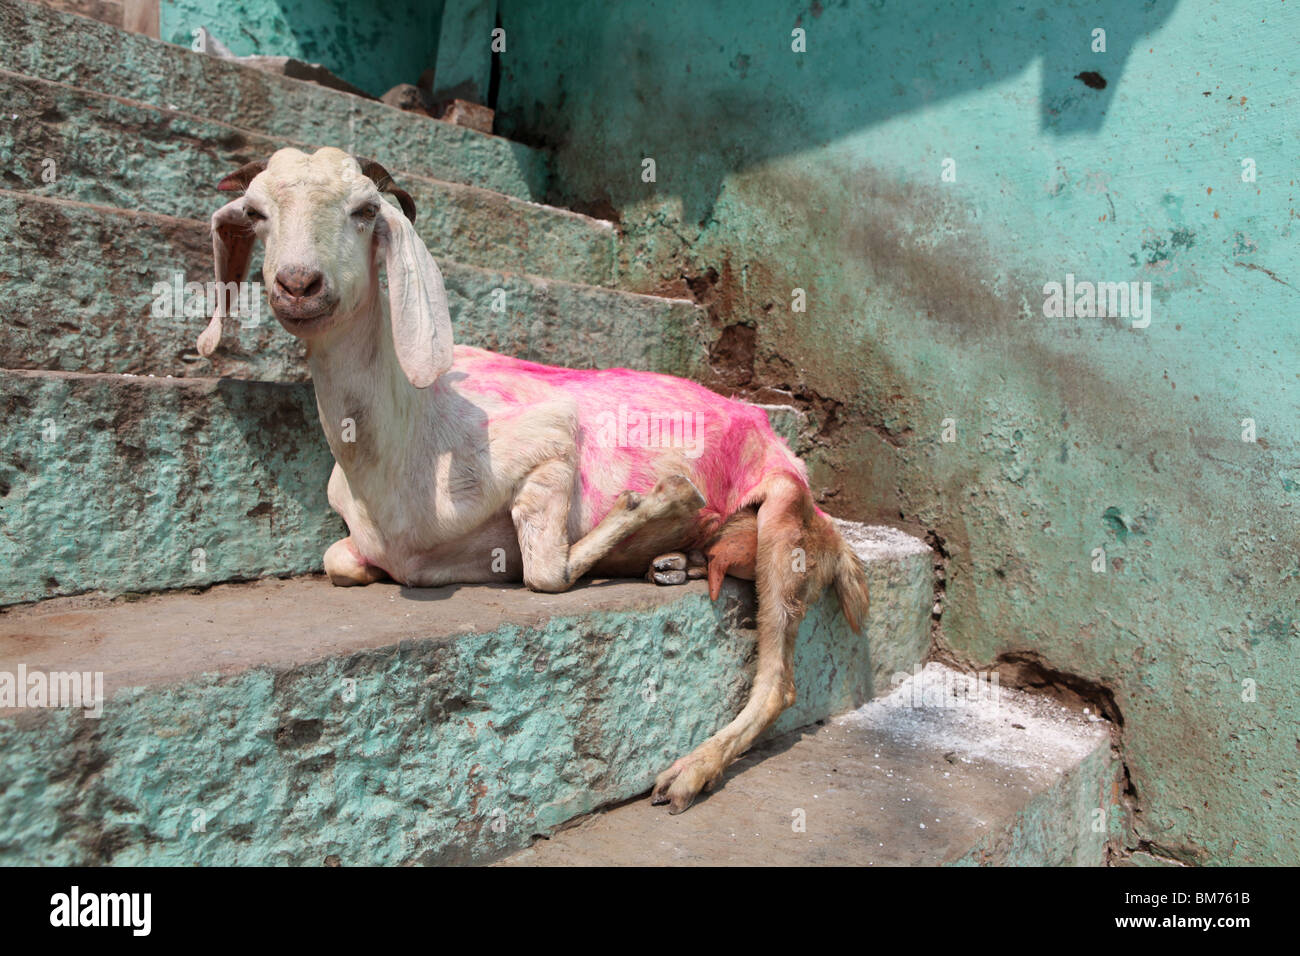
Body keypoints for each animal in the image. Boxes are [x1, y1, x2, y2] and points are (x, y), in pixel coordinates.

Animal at [197, 147, 871, 813]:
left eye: (365, 211)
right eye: (256, 212)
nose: (298, 284)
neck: (399, 446)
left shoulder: (547, 437)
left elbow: (545, 571)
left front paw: (657, 503)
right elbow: (337, 559)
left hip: (785, 508)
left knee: (778, 683)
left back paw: (688, 770)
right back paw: (671, 563)